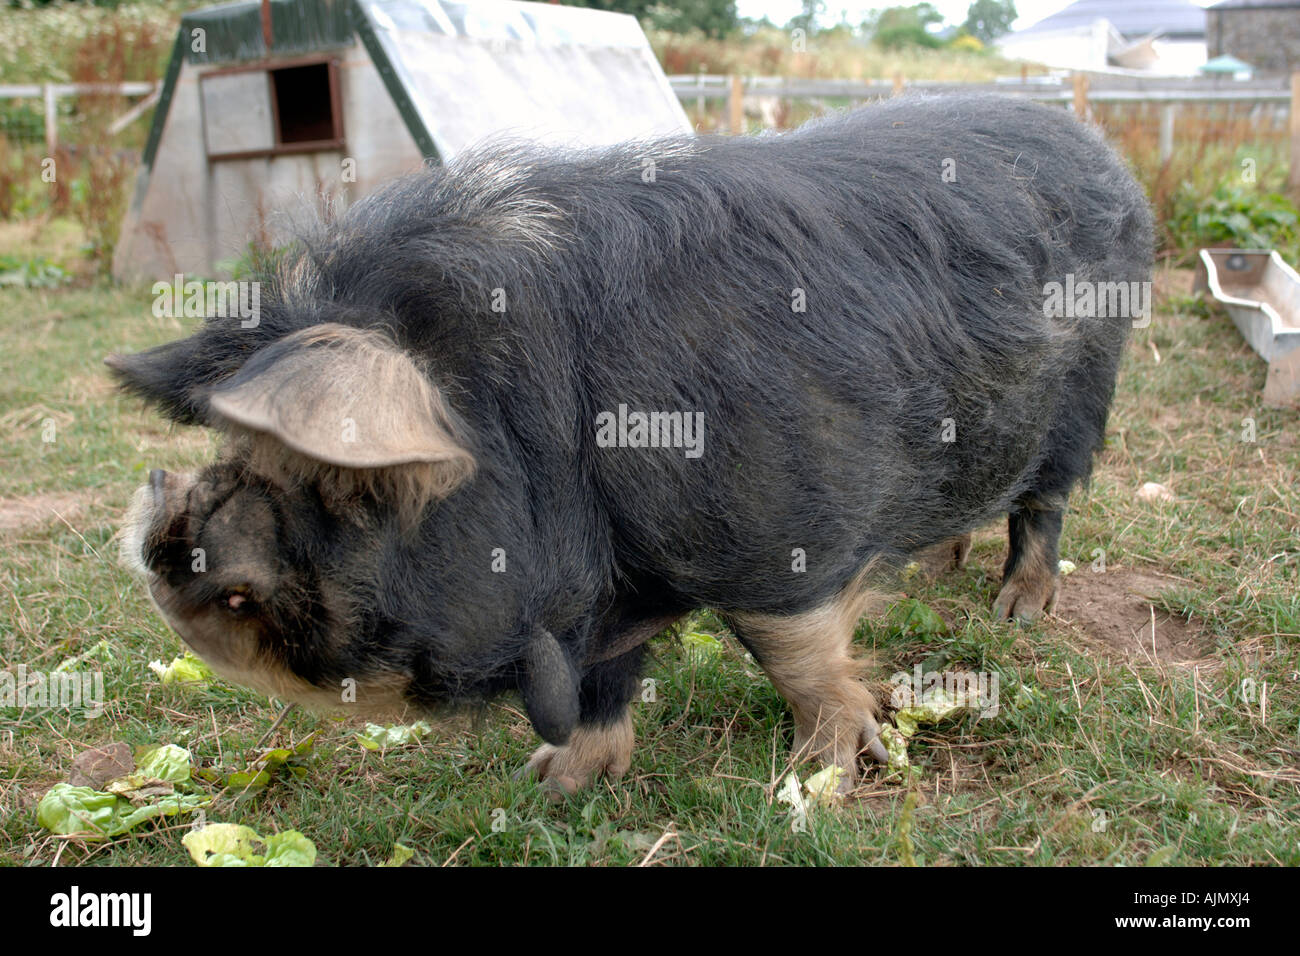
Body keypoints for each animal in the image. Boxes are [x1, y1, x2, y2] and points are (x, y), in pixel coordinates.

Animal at [110, 94, 1153, 794]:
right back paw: (940, 566)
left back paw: (1017, 614)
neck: (551, 424)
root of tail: (1098, 147)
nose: (170, 542)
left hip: (1090, 391)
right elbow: (600, 686)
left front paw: (823, 775)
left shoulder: (784, 536)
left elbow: (798, 656)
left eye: (355, 490)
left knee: (1046, 505)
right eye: (234, 456)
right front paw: (546, 783)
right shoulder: (595, 591)